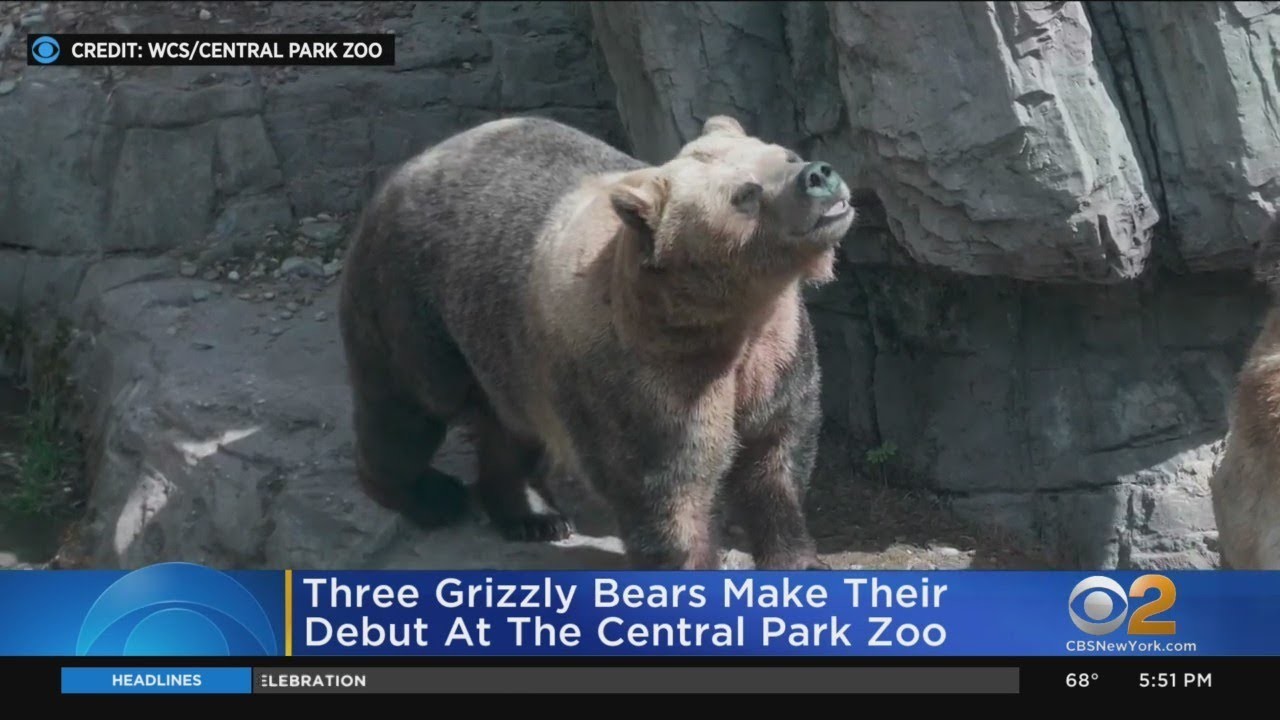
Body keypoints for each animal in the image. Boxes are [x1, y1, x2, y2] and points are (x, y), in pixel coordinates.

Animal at [337, 114, 857, 570]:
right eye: (745, 194)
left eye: (785, 154)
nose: (818, 174)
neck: (725, 317)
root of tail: (409, 166)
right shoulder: (648, 378)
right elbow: (669, 492)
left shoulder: (776, 350)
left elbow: (777, 454)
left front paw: (801, 561)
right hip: (411, 305)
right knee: (407, 411)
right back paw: (429, 495)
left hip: (505, 348)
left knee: (509, 425)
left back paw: (533, 515)